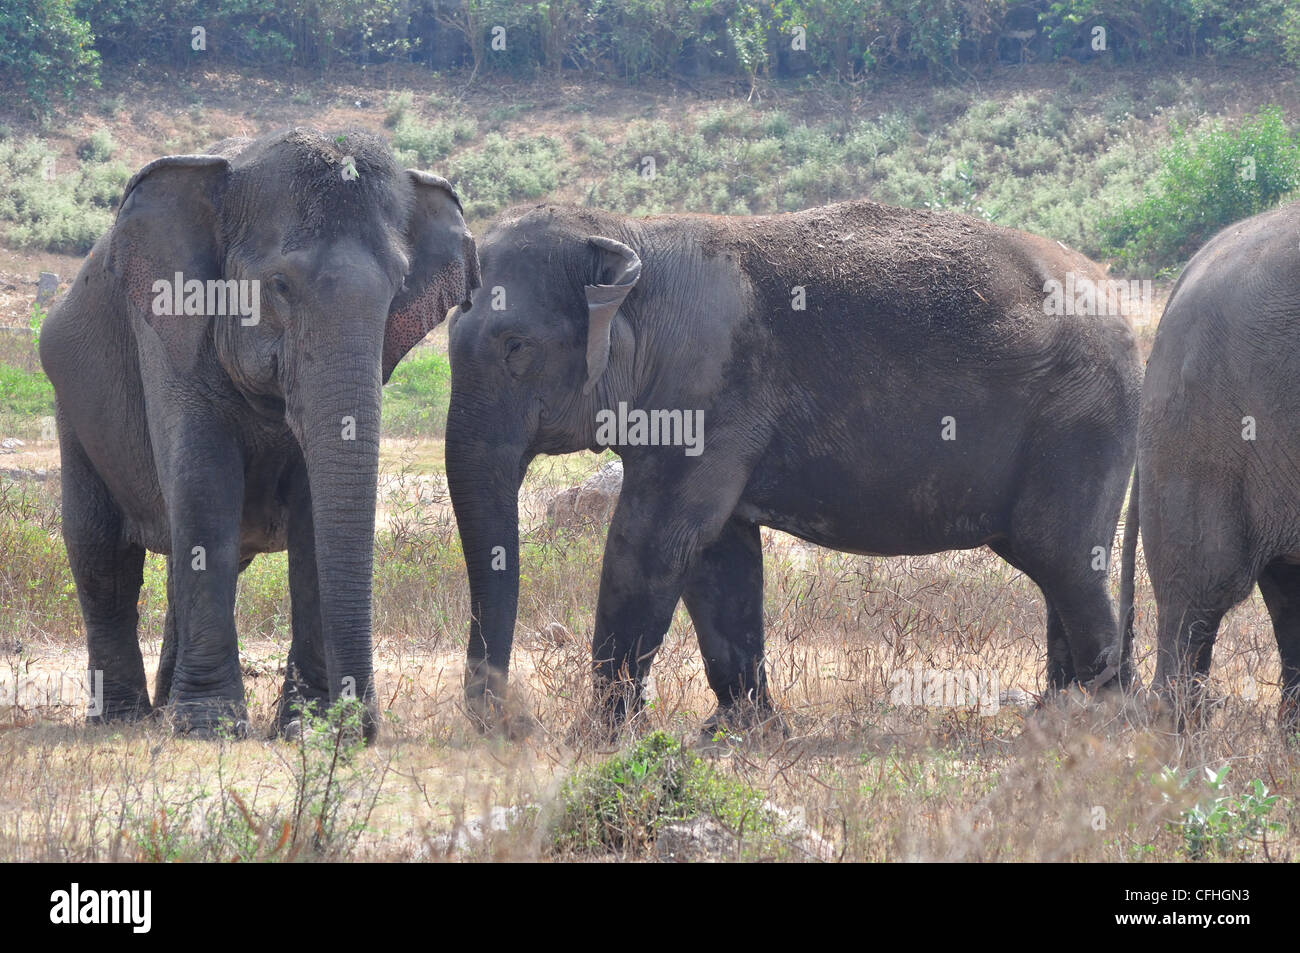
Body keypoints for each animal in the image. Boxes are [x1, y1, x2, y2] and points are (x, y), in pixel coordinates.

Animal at [39, 128, 479, 739]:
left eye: (397, 291)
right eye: (279, 286)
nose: (364, 728)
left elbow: (310, 521)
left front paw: (306, 729)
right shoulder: (170, 335)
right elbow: (205, 494)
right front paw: (210, 729)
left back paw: (165, 708)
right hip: (73, 407)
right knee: (100, 551)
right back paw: (125, 720)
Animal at [444, 200, 1142, 734]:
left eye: (516, 347)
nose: (507, 724)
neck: (630, 233)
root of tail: (1115, 298)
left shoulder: (709, 393)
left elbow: (651, 544)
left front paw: (602, 741)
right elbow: (718, 557)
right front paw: (739, 734)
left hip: (1082, 418)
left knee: (1060, 556)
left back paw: (1102, 725)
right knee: (1052, 564)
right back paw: (1057, 718)